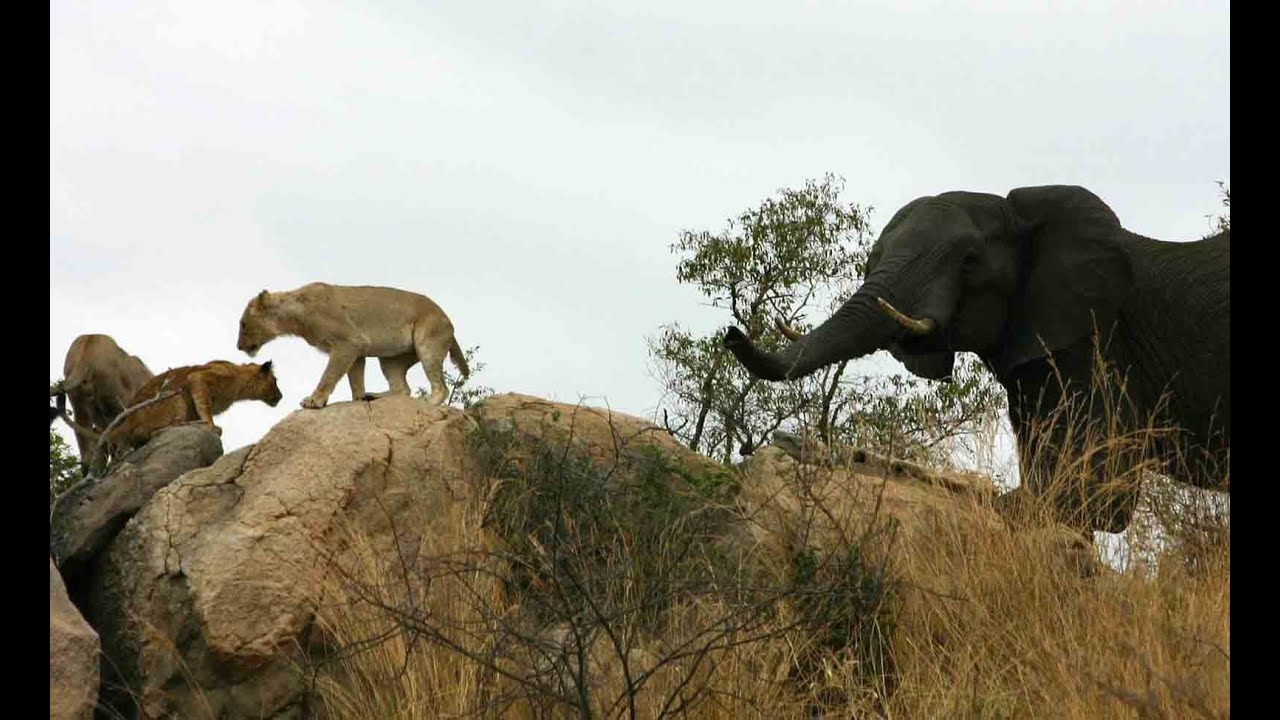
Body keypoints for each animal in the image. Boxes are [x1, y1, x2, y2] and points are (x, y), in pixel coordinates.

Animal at [57, 360, 283, 475]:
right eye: (275, 381)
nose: (281, 396)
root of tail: (126, 419)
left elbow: (201, 407)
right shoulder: (198, 379)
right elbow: (205, 408)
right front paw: (211, 426)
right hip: (174, 397)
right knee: (149, 433)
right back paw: (187, 425)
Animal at [236, 282, 469, 409]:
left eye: (243, 324)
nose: (238, 347)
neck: (295, 316)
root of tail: (449, 322)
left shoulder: (348, 343)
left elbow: (329, 375)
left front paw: (314, 400)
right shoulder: (357, 351)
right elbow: (355, 380)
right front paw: (358, 399)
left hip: (427, 342)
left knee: (441, 387)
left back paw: (427, 403)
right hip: (389, 359)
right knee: (402, 388)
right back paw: (373, 397)